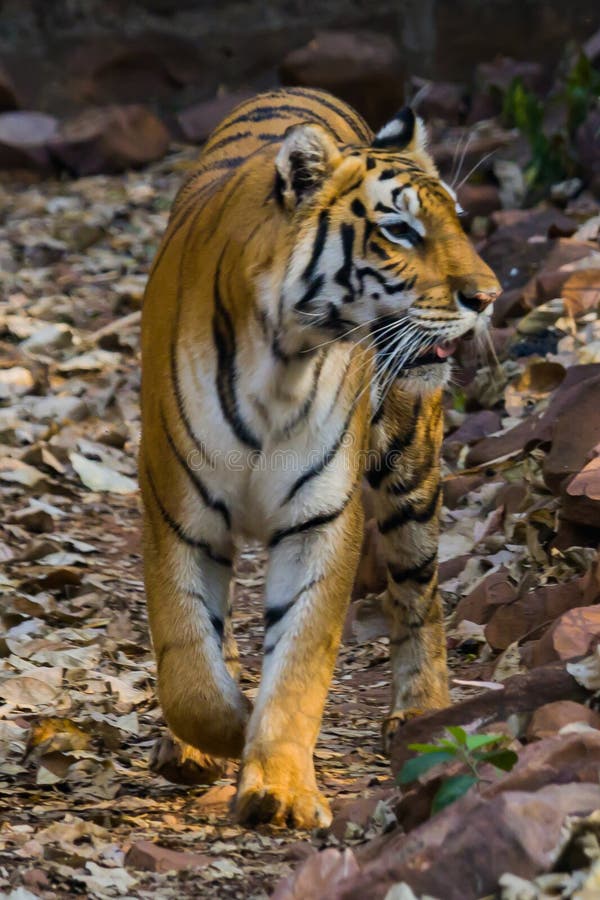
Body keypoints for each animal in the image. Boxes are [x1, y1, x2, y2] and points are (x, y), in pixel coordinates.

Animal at [140, 87, 500, 829]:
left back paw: (422, 713)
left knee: (419, 592)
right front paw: (221, 734)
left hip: (410, 464)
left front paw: (279, 786)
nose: (489, 297)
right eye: (400, 230)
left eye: (458, 221)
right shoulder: (176, 510)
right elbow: (188, 664)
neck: (285, 359)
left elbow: (300, 660)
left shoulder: (319, 517)